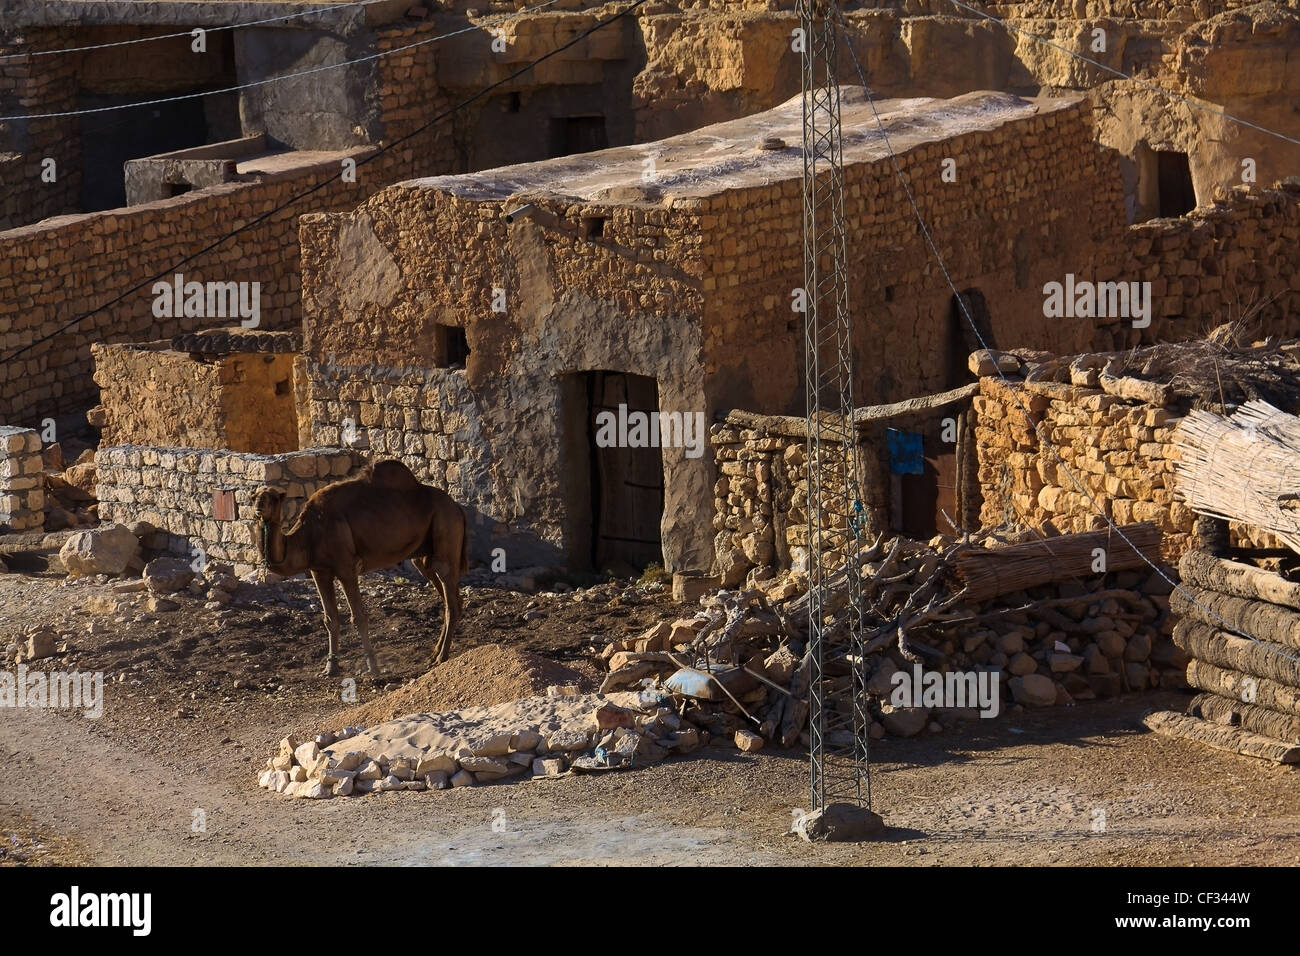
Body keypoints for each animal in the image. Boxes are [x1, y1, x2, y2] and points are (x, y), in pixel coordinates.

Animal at [253, 459, 468, 677]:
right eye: (254, 497)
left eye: (273, 498)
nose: (258, 509)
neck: (308, 534)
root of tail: (457, 507)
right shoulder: (319, 571)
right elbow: (330, 619)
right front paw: (330, 668)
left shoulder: (346, 567)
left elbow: (358, 617)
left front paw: (373, 668)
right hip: (424, 555)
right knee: (446, 592)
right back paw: (434, 654)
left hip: (446, 526)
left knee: (448, 591)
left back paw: (442, 657)